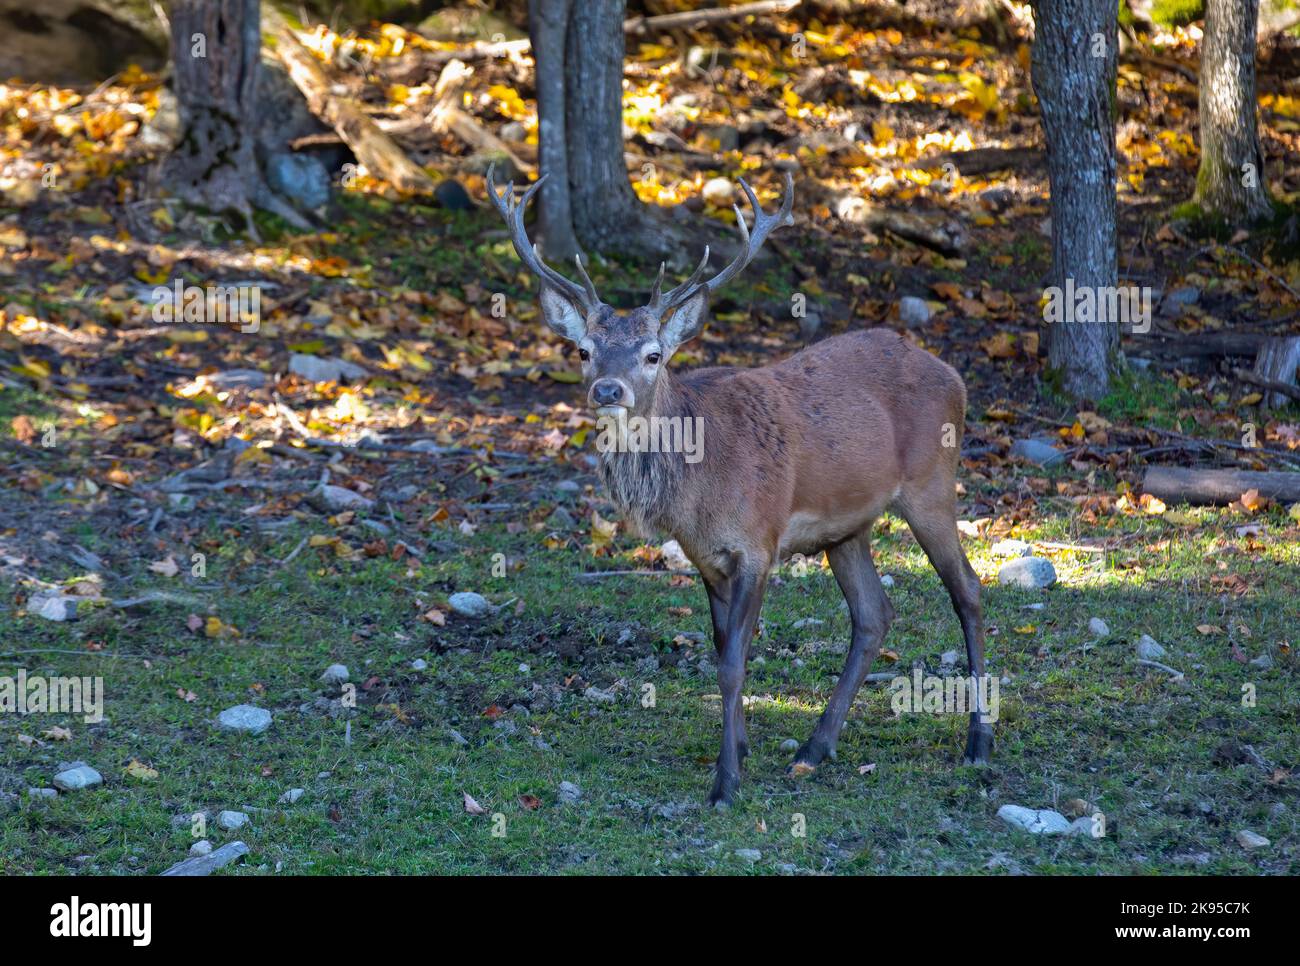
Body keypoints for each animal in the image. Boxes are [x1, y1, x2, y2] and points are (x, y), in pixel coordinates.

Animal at [487, 166, 992, 807]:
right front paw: (743, 751)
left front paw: (725, 781)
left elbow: (732, 664)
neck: (699, 489)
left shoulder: (759, 541)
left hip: (932, 484)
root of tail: (954, 376)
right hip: (847, 526)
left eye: (653, 354)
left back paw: (978, 742)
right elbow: (726, 649)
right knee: (875, 613)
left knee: (968, 591)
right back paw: (815, 747)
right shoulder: (706, 555)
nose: (607, 390)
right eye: (583, 350)